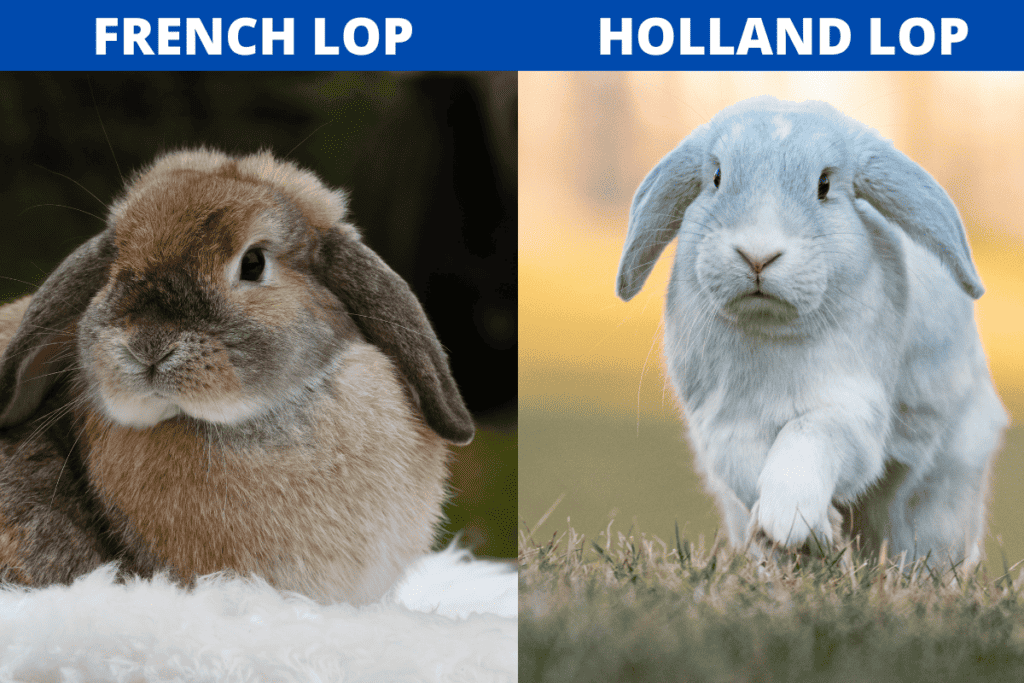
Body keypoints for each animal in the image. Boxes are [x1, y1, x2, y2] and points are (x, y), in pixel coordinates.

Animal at [616, 96, 1007, 568]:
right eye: (717, 178)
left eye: (823, 185)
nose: (758, 254)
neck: (771, 328)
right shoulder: (725, 425)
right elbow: (748, 468)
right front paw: (813, 534)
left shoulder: (850, 412)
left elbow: (808, 439)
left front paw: (791, 520)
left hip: (944, 485)